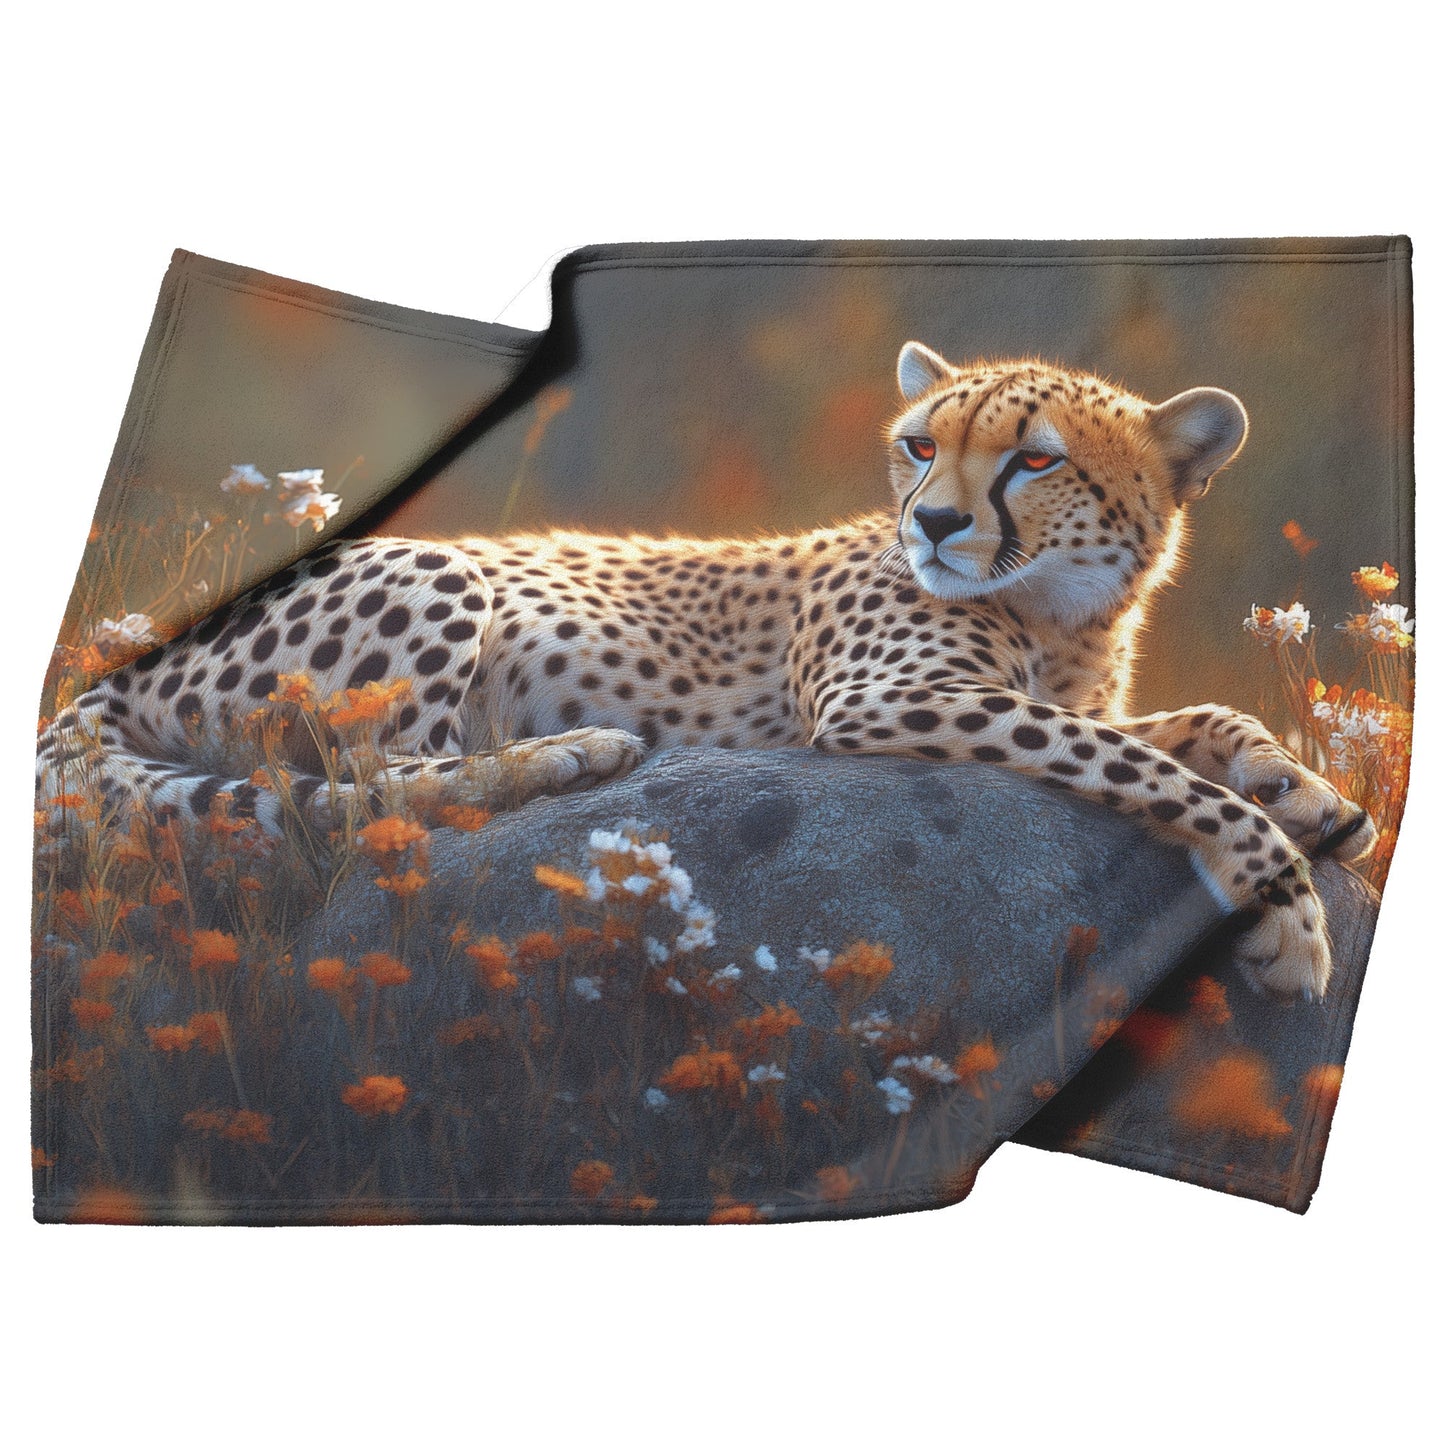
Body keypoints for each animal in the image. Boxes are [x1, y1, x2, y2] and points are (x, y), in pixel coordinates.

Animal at [37, 343, 1377, 1000]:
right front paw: (1283, 914)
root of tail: (126, 648)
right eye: (917, 444)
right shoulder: (889, 697)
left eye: (1033, 459)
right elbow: (1148, 765)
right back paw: (565, 752)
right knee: (373, 791)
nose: (936, 525)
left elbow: (1191, 720)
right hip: (435, 567)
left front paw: (1309, 792)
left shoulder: (1034, 692)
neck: (1059, 612)